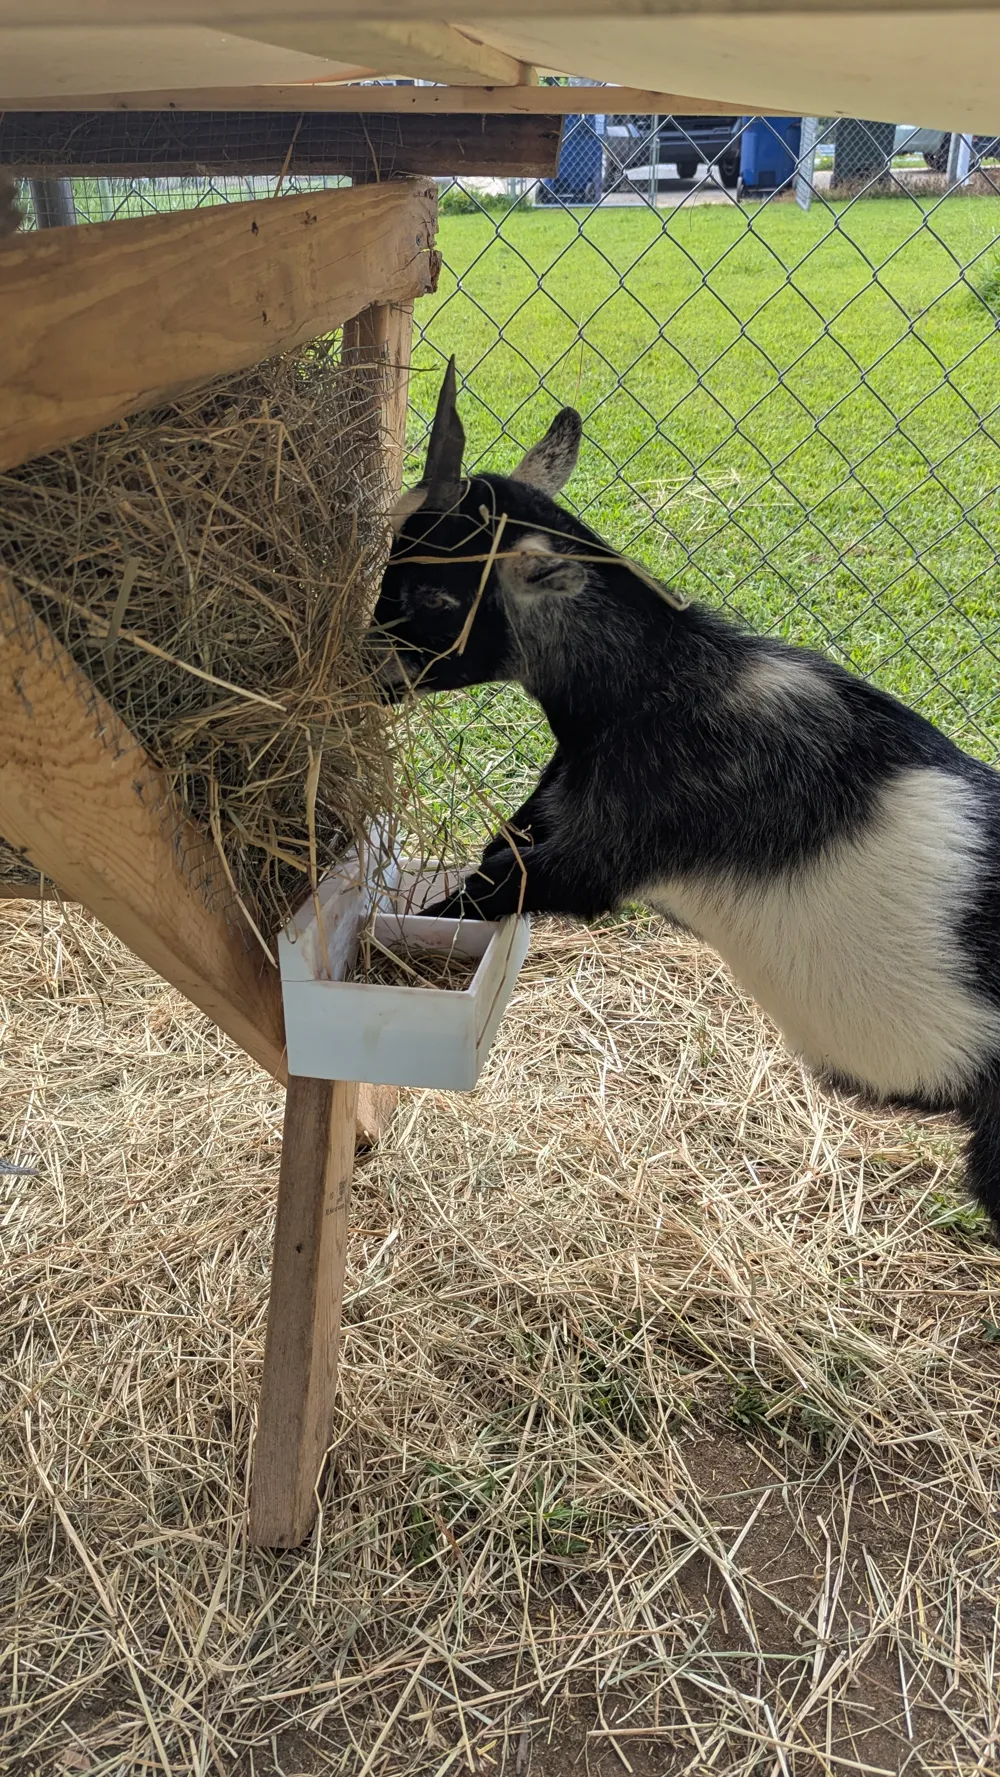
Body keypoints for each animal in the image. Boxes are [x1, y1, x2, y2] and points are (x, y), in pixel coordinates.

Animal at [367, 359, 1000, 1233]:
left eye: (434, 599)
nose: (356, 669)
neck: (657, 685)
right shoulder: (556, 809)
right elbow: (501, 847)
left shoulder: (602, 851)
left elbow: (485, 893)